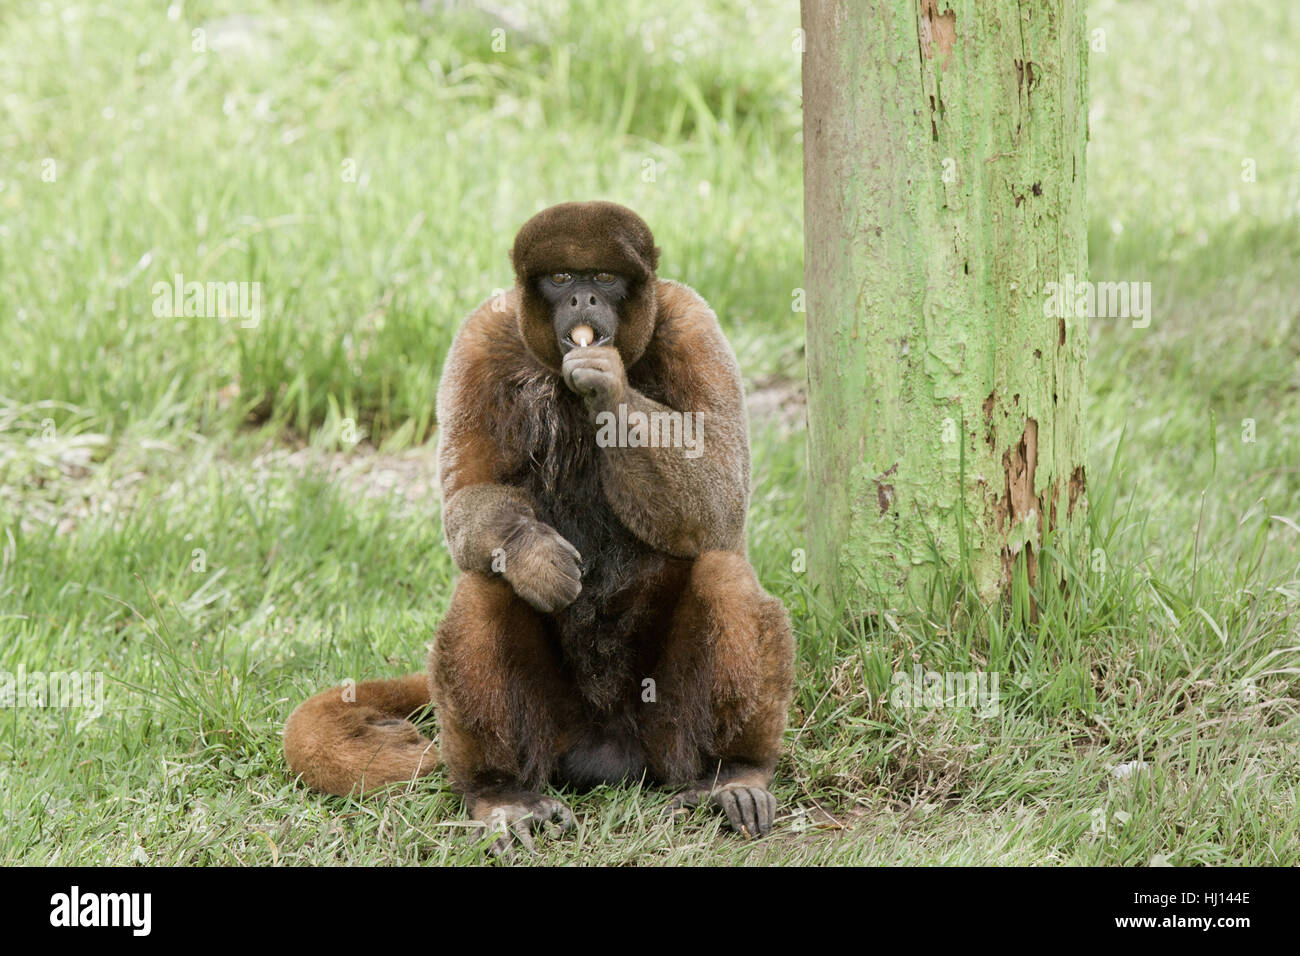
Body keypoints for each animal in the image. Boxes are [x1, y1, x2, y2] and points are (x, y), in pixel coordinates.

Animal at [283, 201, 795, 854]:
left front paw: (608, 383)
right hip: (550, 735)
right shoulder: (481, 334)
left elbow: (721, 500)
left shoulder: (694, 325)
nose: (582, 299)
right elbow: (466, 500)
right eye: (560, 278)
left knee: (722, 568)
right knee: (483, 582)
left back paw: (734, 774)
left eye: (603, 277)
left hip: (666, 733)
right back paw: (501, 794)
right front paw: (533, 555)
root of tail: (609, 755)